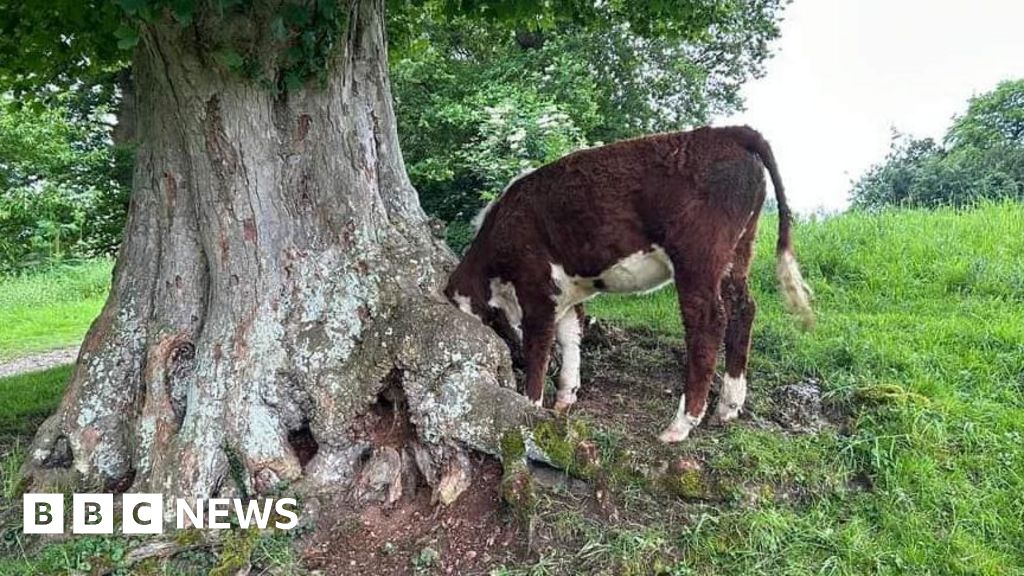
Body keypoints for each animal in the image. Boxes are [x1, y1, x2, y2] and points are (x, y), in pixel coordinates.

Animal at [444, 125, 814, 442]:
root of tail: (729, 131)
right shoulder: (565, 290)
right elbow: (571, 334)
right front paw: (565, 397)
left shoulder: (536, 288)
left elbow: (540, 345)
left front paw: (530, 404)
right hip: (738, 251)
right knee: (743, 310)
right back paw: (728, 407)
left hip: (698, 255)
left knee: (708, 322)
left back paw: (680, 425)